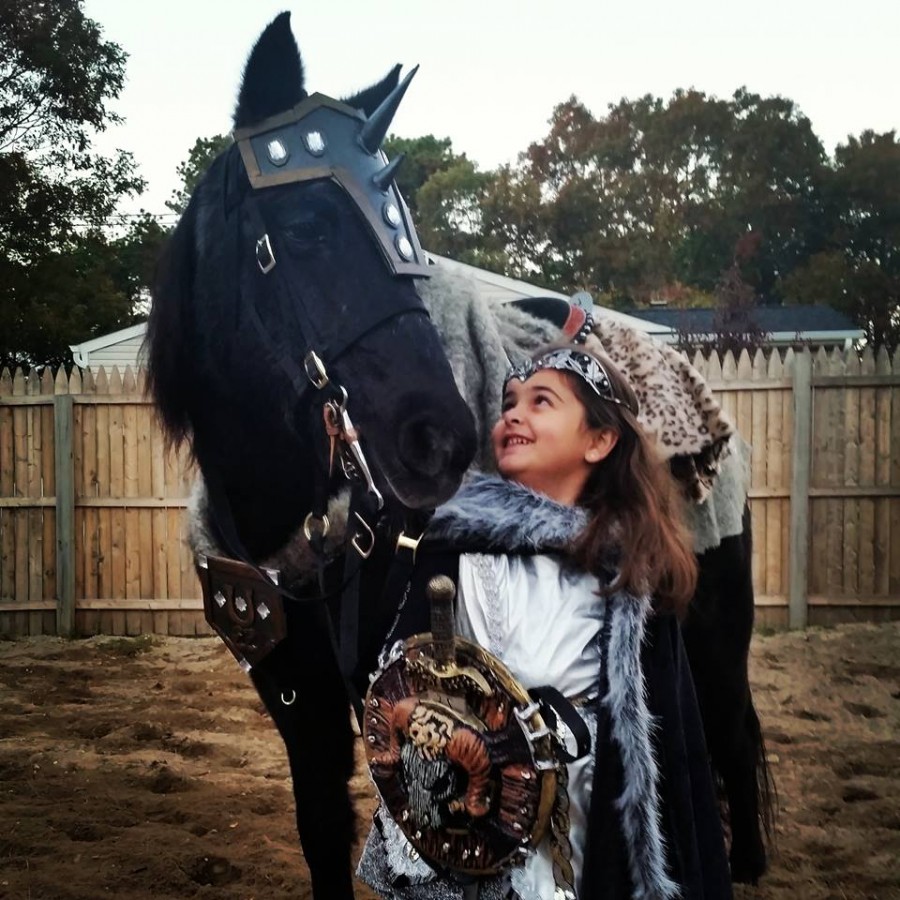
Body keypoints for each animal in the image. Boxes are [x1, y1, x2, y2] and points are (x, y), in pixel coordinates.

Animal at [146, 13, 773, 896]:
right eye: (305, 228)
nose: (437, 435)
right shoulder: (297, 695)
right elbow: (320, 830)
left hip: (715, 624)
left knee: (732, 726)